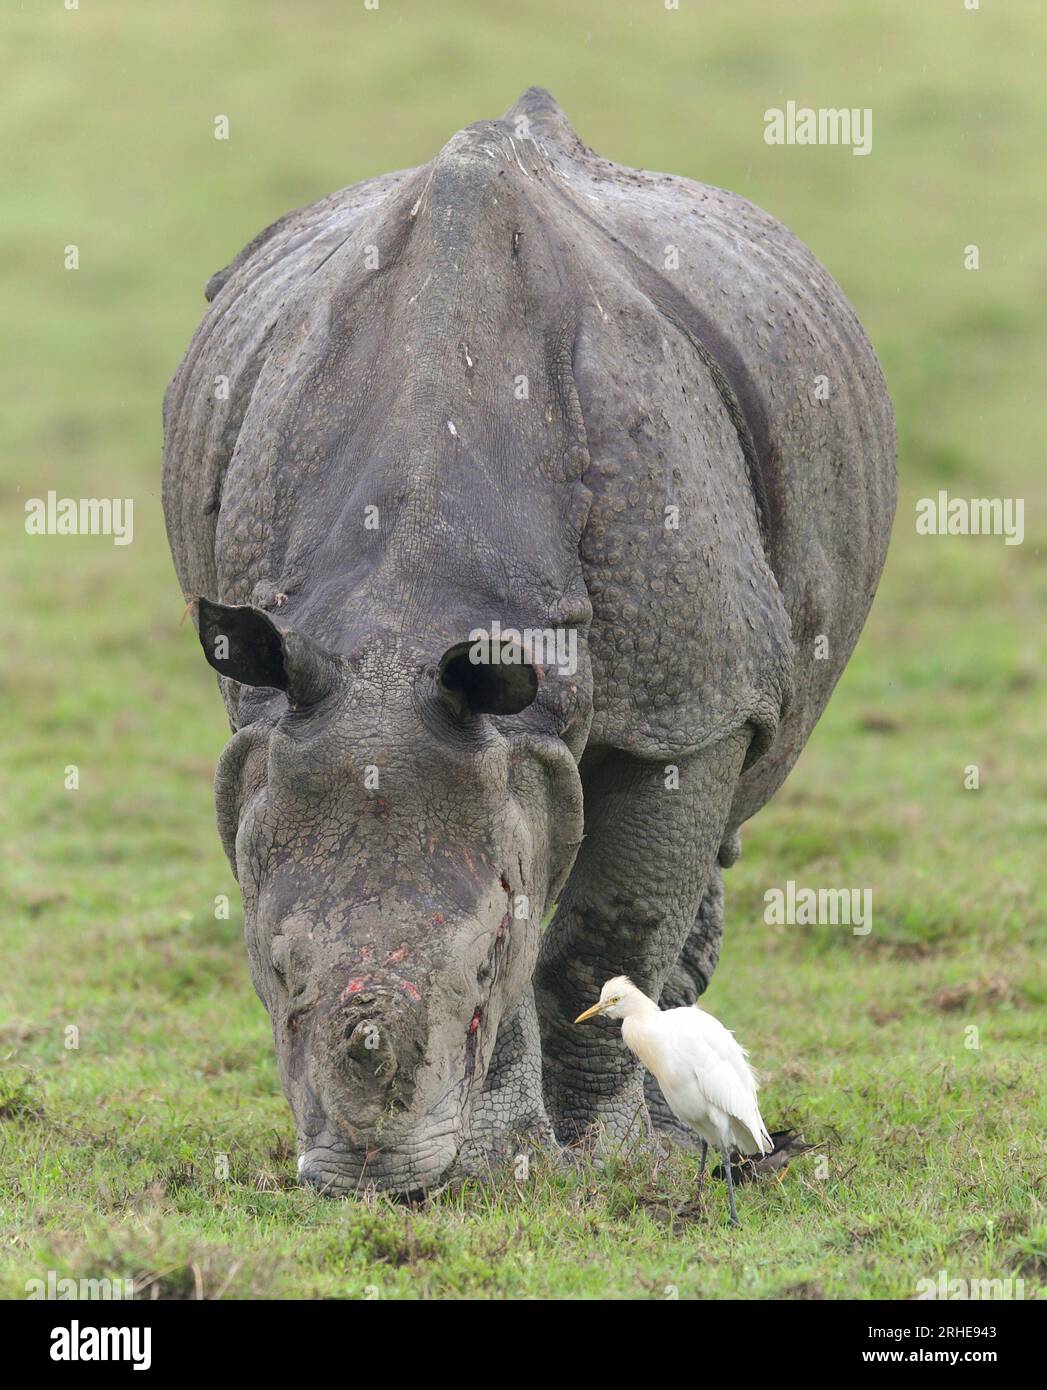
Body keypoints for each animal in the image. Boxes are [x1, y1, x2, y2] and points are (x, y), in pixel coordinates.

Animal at [162, 88, 896, 1194]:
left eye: (477, 959)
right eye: (276, 968)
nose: (369, 1179)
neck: (402, 614)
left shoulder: (687, 701)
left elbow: (598, 936)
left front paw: (600, 1161)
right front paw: (494, 1164)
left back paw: (685, 1142)